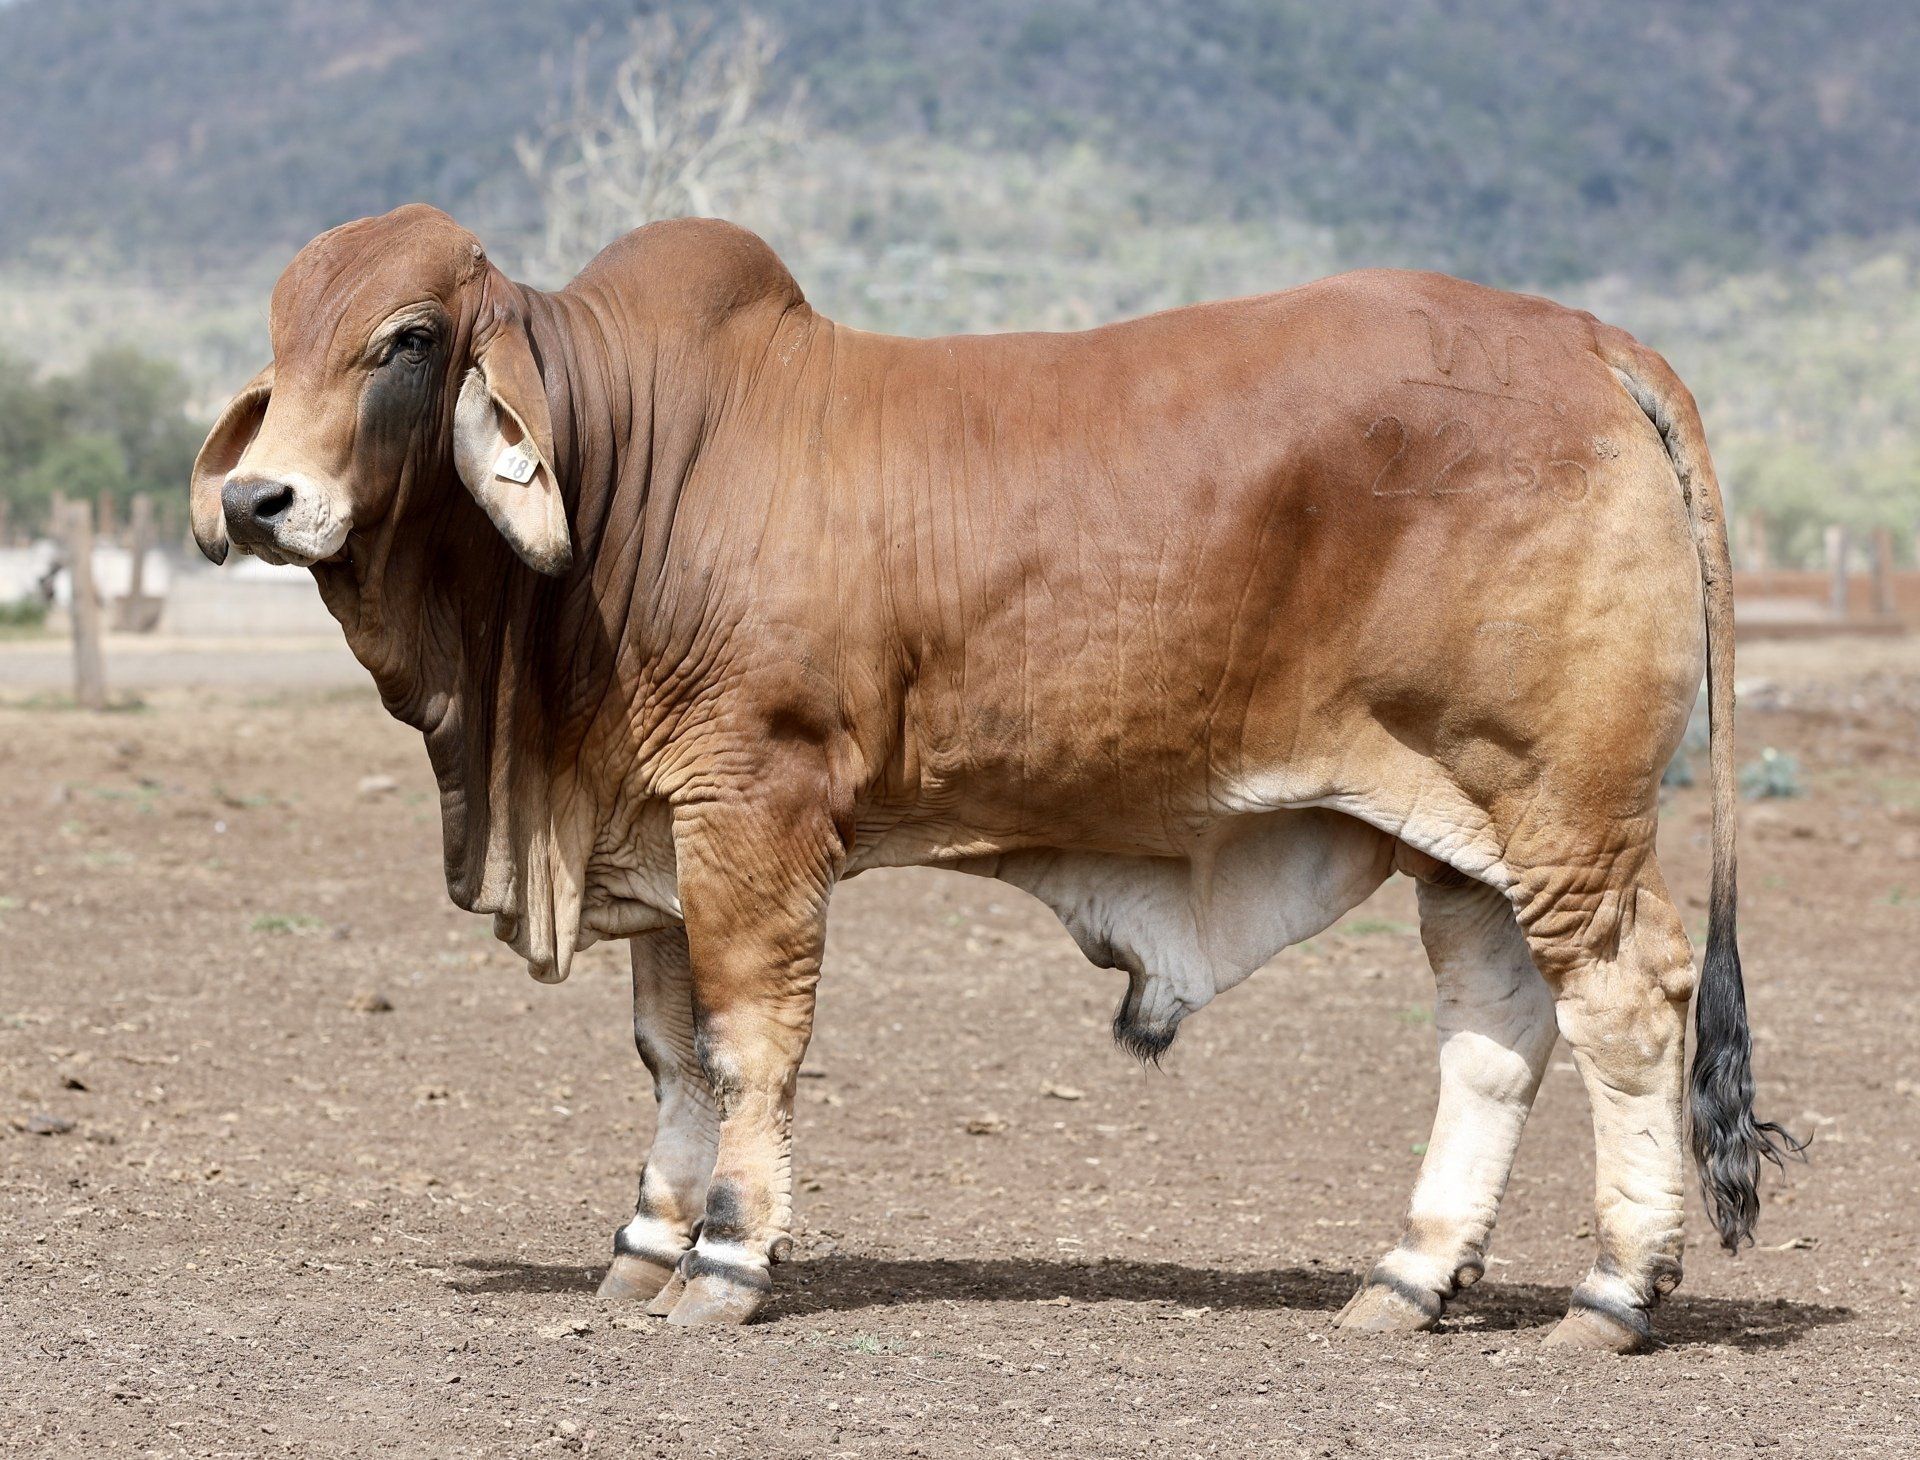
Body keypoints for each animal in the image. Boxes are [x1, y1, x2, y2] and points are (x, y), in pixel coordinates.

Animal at [190, 204, 1798, 1345]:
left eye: (406, 337)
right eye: (281, 329)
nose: (260, 499)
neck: (632, 476)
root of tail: (1590, 340)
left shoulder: (755, 807)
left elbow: (748, 1043)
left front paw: (725, 1261)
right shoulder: (657, 826)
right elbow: (671, 1052)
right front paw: (641, 1251)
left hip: (1566, 811)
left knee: (1628, 1008)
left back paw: (1613, 1290)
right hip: (1463, 834)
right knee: (1493, 1033)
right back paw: (1408, 1277)